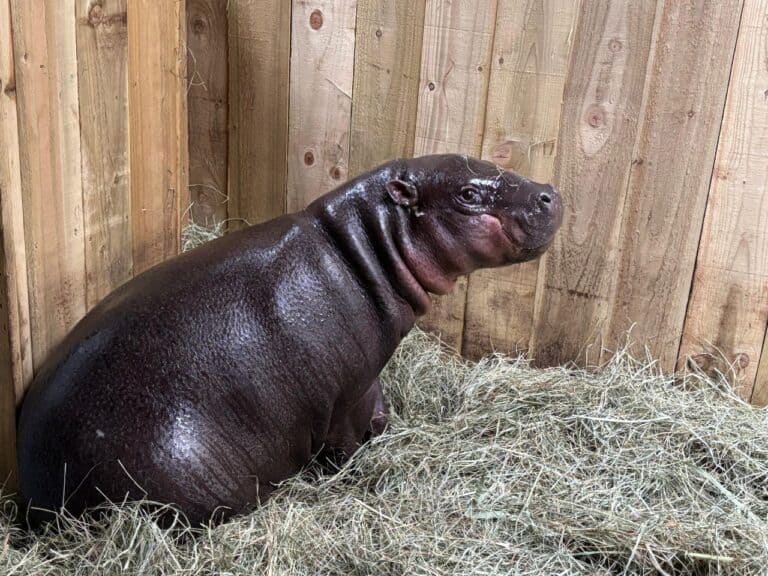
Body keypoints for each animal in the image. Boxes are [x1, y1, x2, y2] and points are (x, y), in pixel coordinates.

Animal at [17, 154, 562, 524]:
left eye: (489, 160)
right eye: (467, 194)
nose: (549, 191)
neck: (364, 248)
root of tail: (34, 490)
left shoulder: (366, 373)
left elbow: (378, 407)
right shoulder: (346, 390)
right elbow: (348, 436)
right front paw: (354, 467)